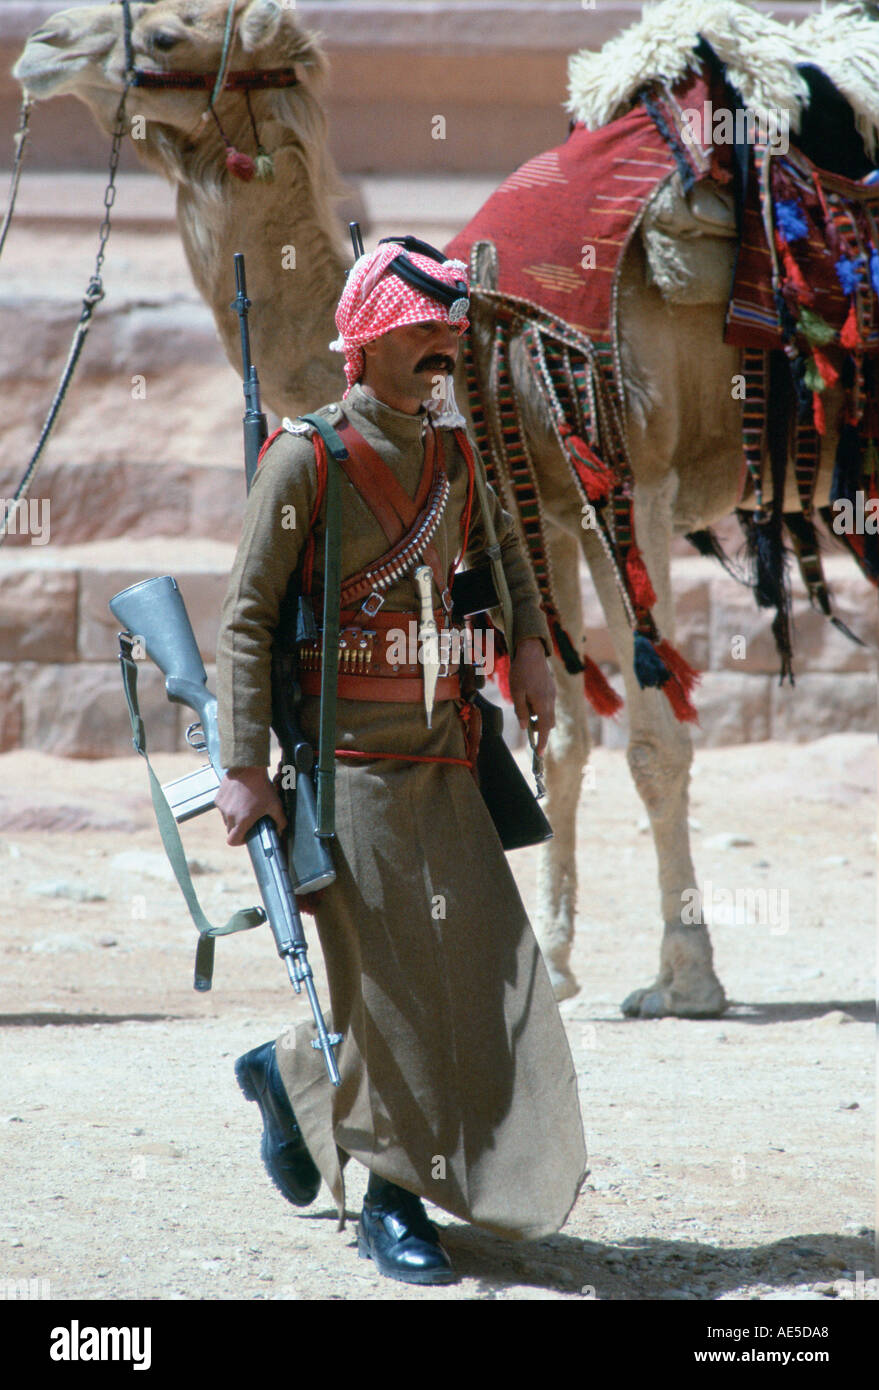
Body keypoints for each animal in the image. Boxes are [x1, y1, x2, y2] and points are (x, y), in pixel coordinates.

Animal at [13, 0, 878, 1018]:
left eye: (166, 35)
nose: (39, 46)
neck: (480, 337)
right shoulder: (542, 509)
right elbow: (564, 734)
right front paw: (559, 961)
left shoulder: (633, 493)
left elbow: (653, 740)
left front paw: (685, 980)